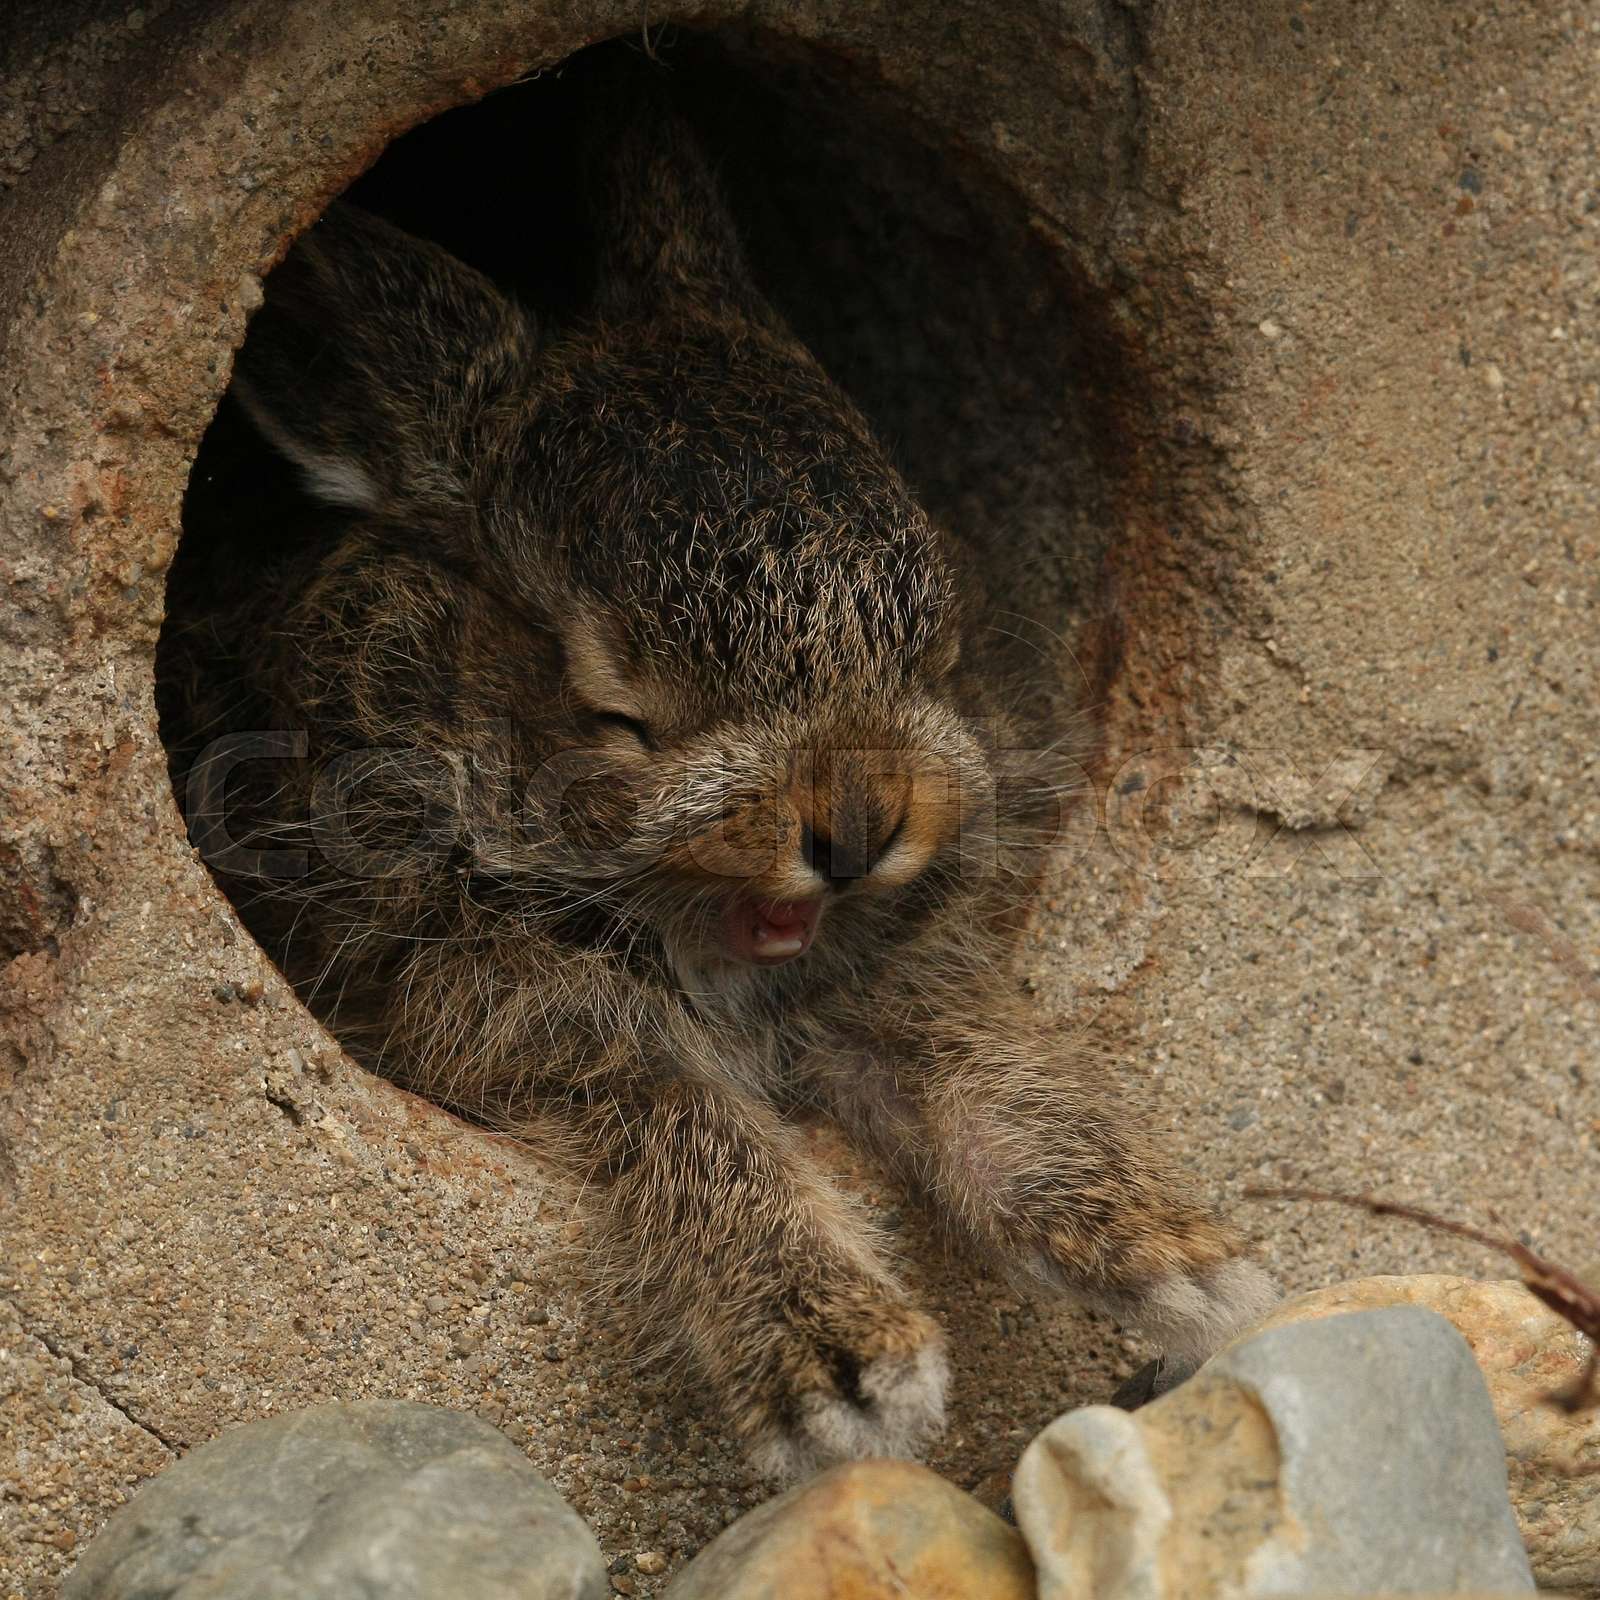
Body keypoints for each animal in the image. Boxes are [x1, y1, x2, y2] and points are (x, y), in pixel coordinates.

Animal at [159, 71, 1276, 1481]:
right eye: (615, 713)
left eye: (939, 640)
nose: (854, 826)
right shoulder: (463, 987)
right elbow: (675, 1100)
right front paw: (846, 1366)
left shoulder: (885, 972)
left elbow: (962, 1050)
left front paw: (1179, 1261)